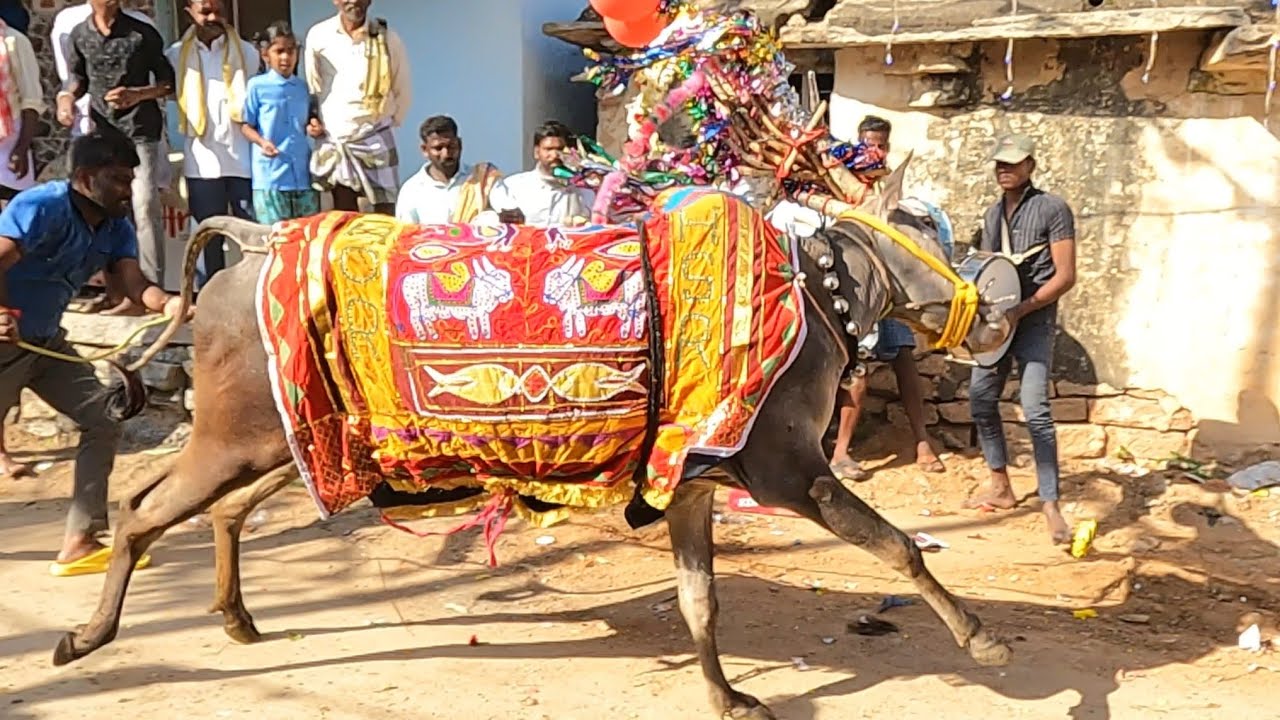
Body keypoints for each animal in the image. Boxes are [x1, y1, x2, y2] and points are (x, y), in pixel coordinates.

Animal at [52, 160, 1017, 720]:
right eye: (930, 227)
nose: (1000, 313)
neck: (812, 292)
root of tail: (255, 243)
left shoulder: (692, 483)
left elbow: (700, 603)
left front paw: (727, 697)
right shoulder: (790, 472)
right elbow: (900, 549)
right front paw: (981, 639)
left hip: (297, 446)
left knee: (219, 513)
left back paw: (235, 614)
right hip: (236, 440)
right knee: (139, 512)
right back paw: (85, 636)